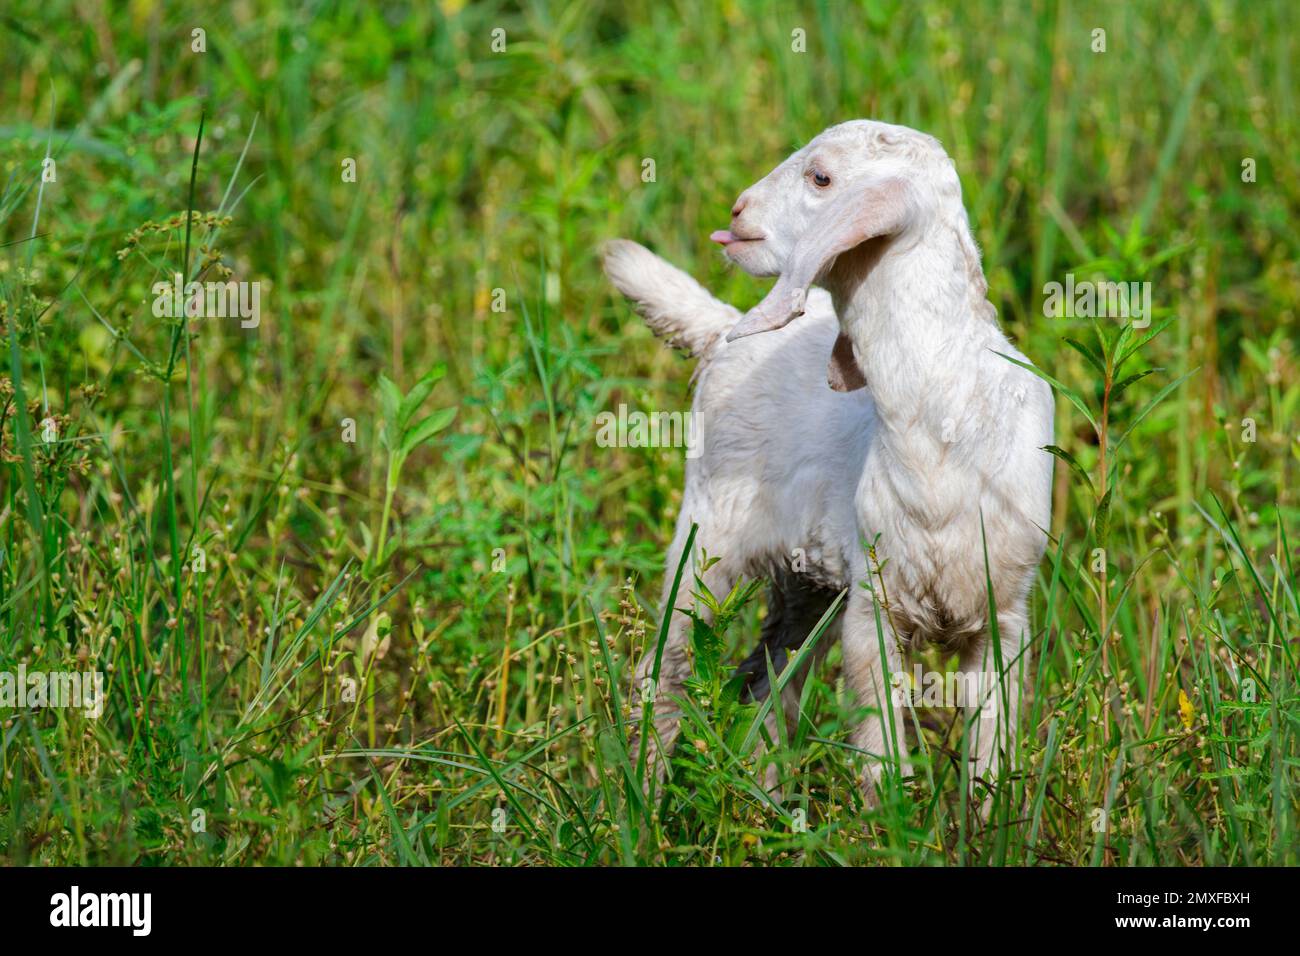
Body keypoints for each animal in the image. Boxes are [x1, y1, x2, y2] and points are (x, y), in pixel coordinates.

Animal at [603, 119, 1054, 808]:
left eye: (821, 177)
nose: (736, 213)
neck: (942, 422)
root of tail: (722, 328)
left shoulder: (1004, 615)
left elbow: (990, 750)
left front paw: (990, 821)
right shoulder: (874, 605)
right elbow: (879, 740)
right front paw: (886, 819)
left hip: (806, 585)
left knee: (763, 680)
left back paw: (760, 796)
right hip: (706, 545)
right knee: (668, 675)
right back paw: (644, 808)